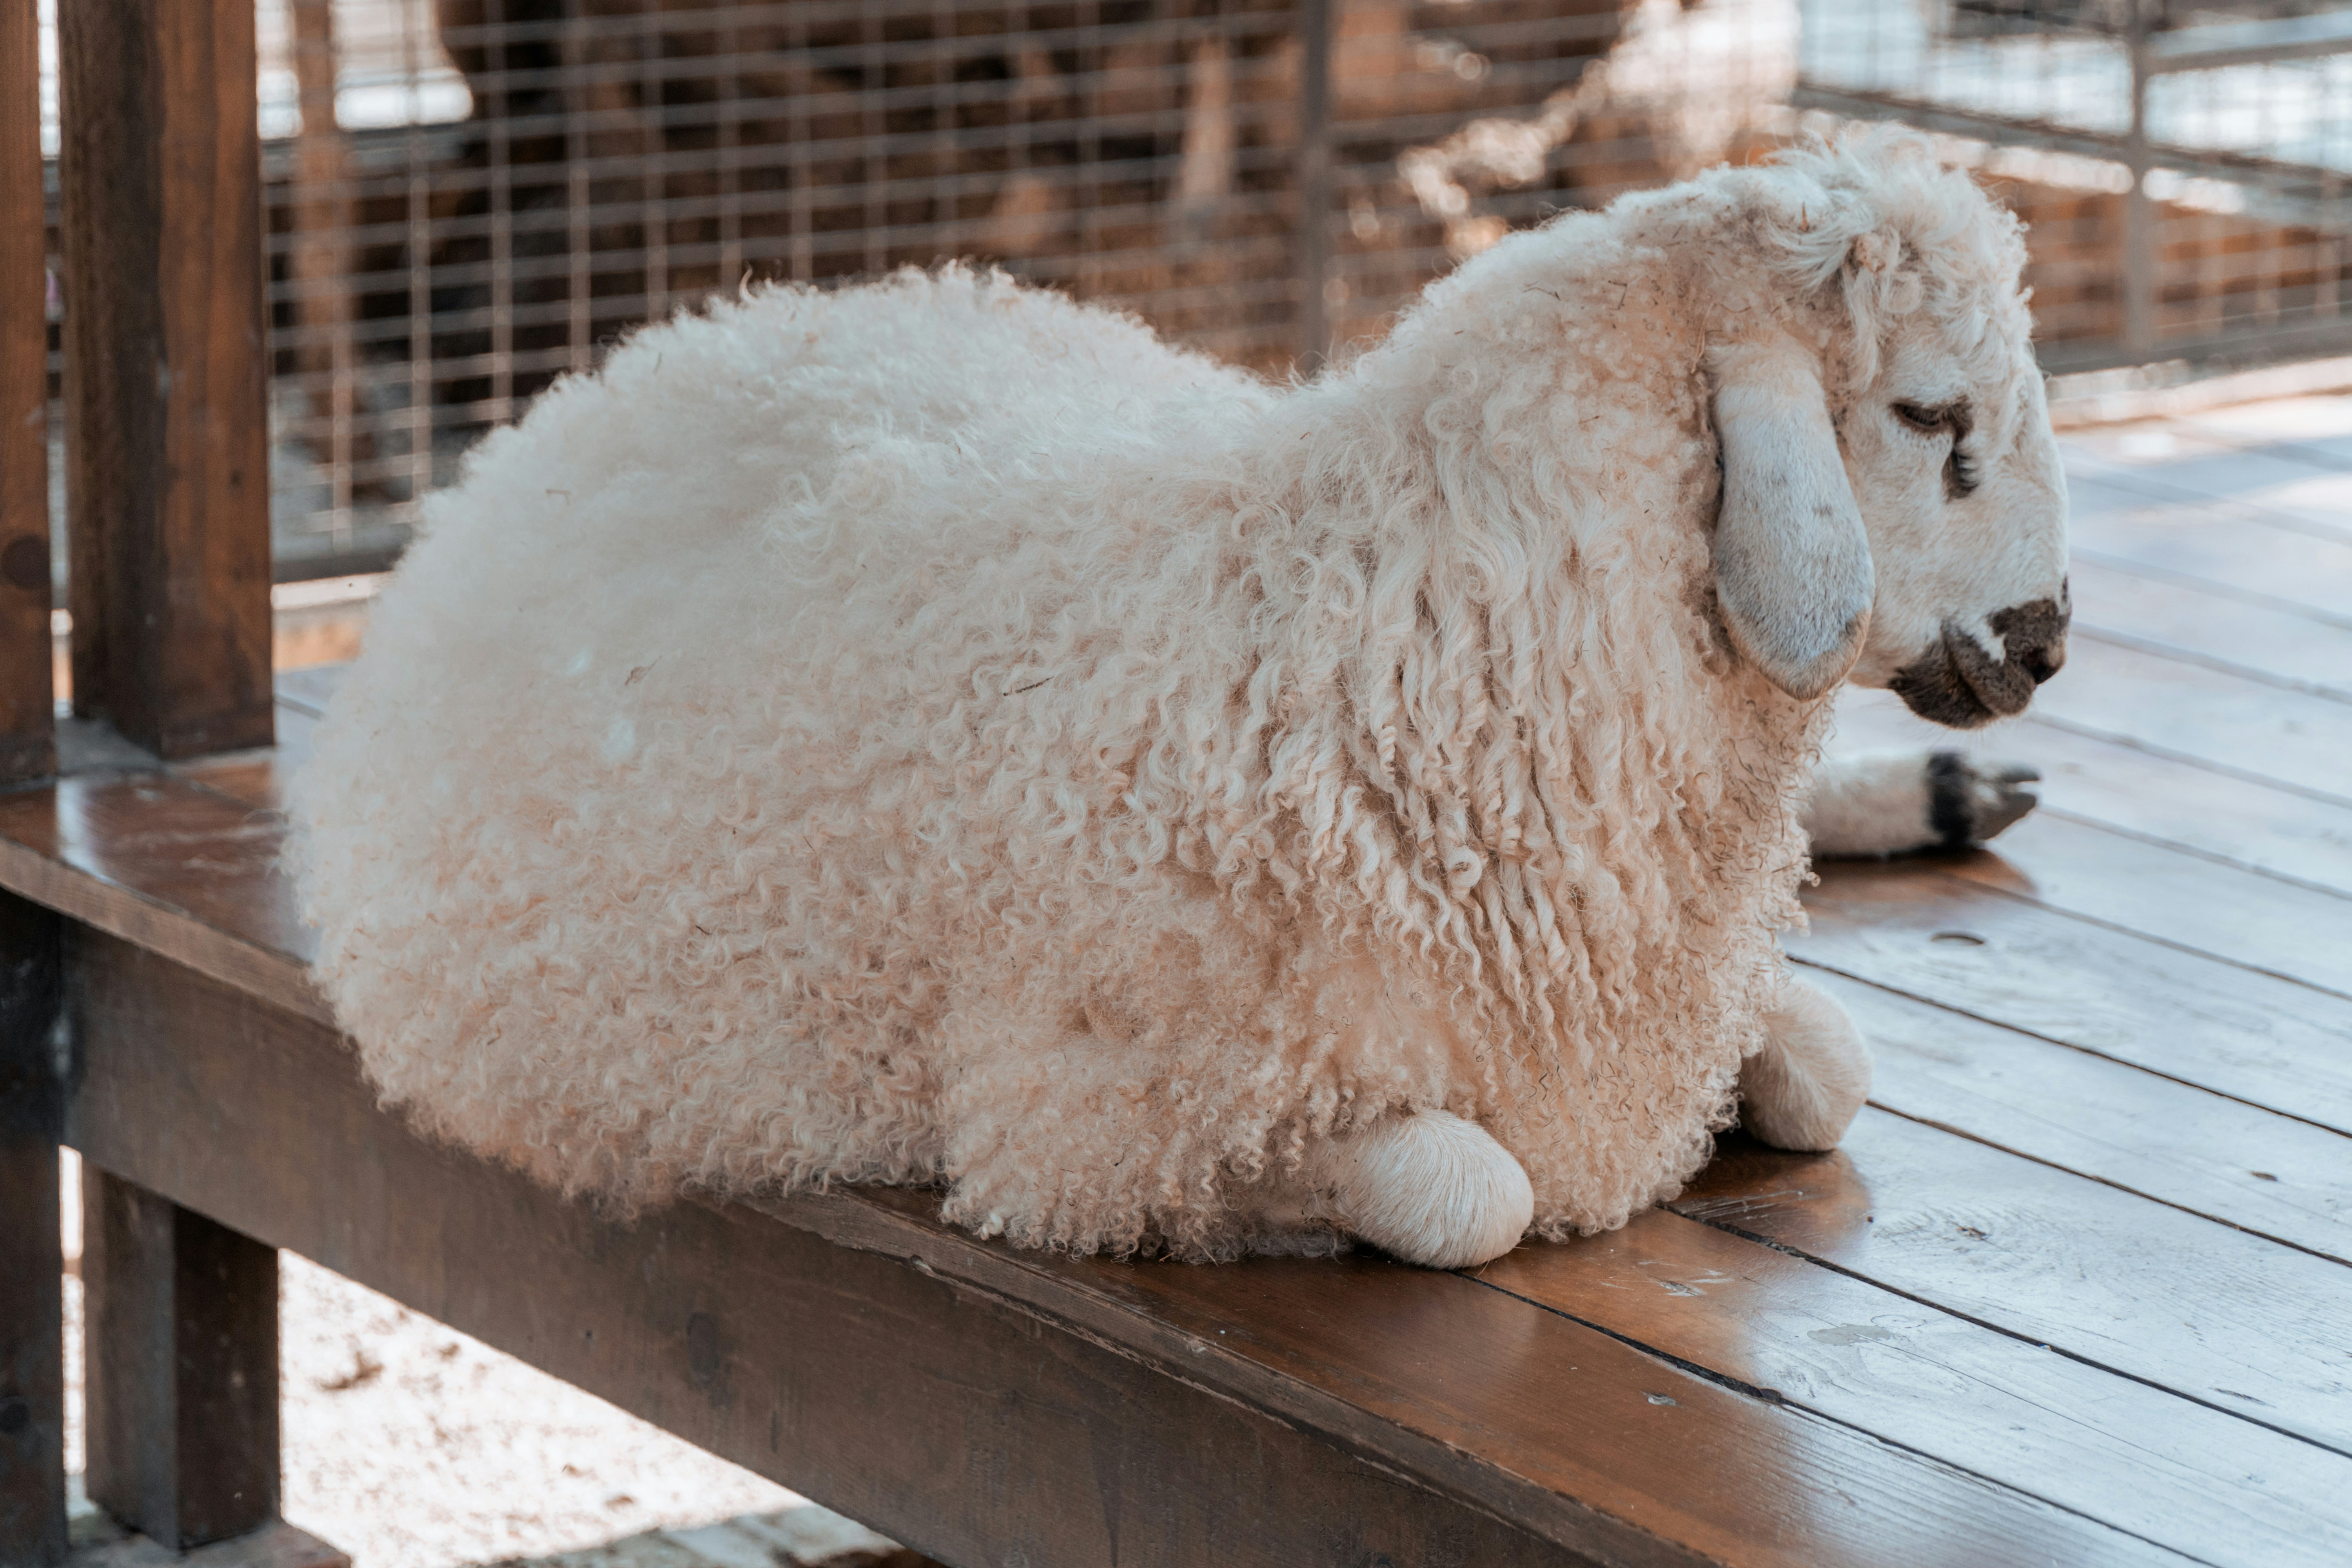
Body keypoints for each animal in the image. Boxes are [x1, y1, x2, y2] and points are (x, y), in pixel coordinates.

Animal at [291, 132, 2069, 1272]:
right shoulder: (1094, 1123)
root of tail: (651, 347)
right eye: (1929, 414)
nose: (2046, 639)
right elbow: (1467, 1194)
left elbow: (1831, 1072)